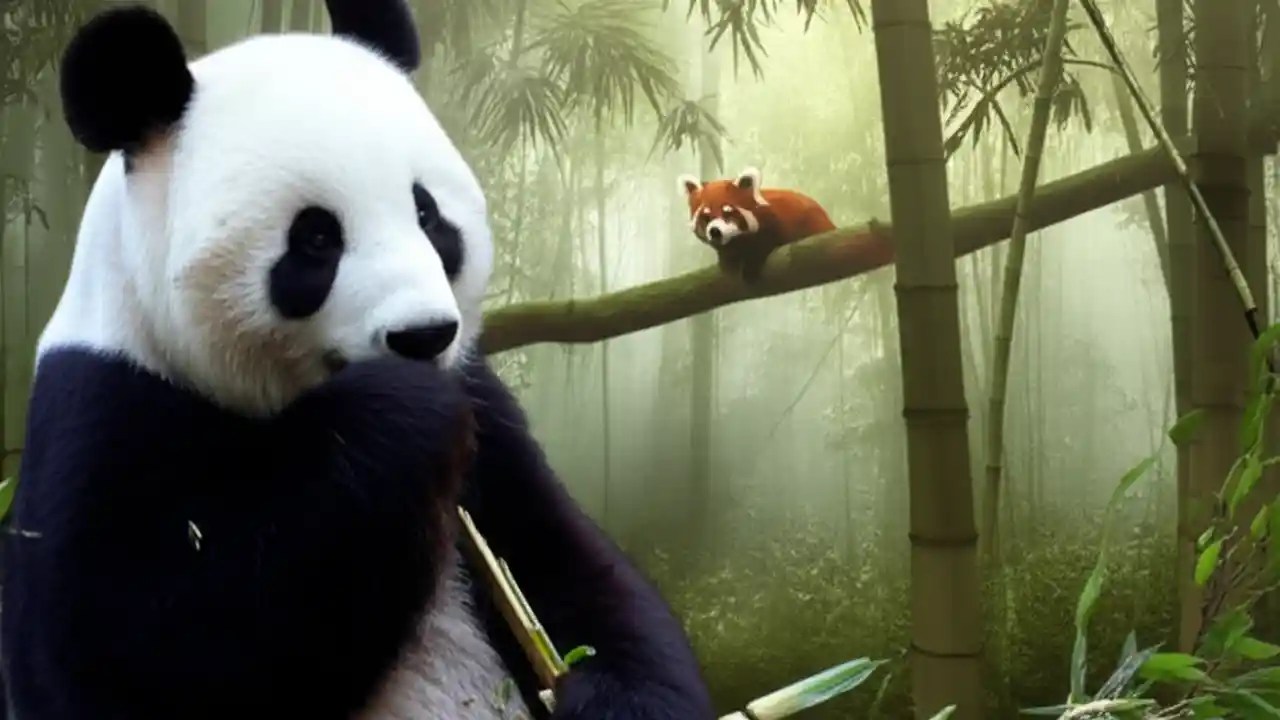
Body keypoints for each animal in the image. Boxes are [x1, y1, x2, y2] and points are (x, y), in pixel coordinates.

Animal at [0, 3, 716, 719]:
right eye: (316, 238)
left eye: (428, 215)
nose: (424, 336)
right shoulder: (105, 409)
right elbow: (134, 650)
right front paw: (403, 410)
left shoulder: (488, 418)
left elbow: (572, 572)